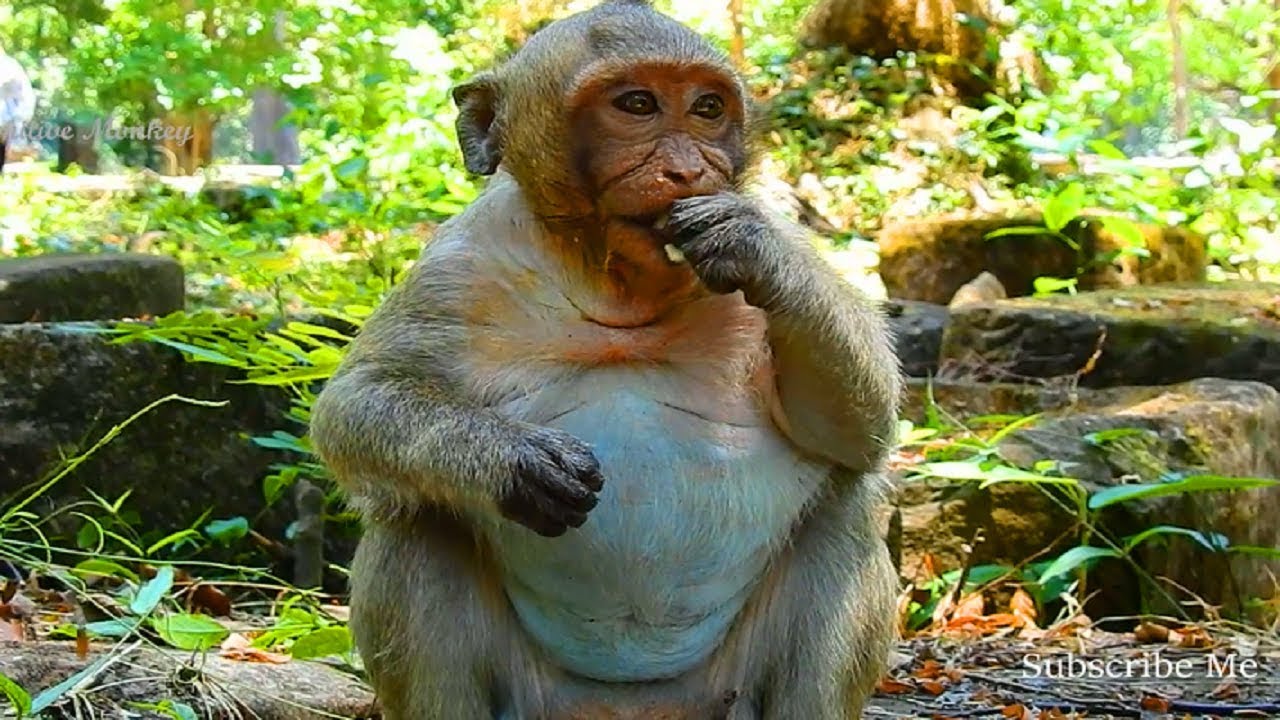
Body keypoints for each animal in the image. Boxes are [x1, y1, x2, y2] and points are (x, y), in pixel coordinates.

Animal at [308, 1, 902, 718]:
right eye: (638, 104)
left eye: (706, 108)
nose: (688, 172)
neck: (616, 289)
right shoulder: (456, 267)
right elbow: (357, 402)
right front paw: (512, 458)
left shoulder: (780, 231)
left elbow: (852, 429)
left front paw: (750, 244)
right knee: (416, 518)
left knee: (844, 511)